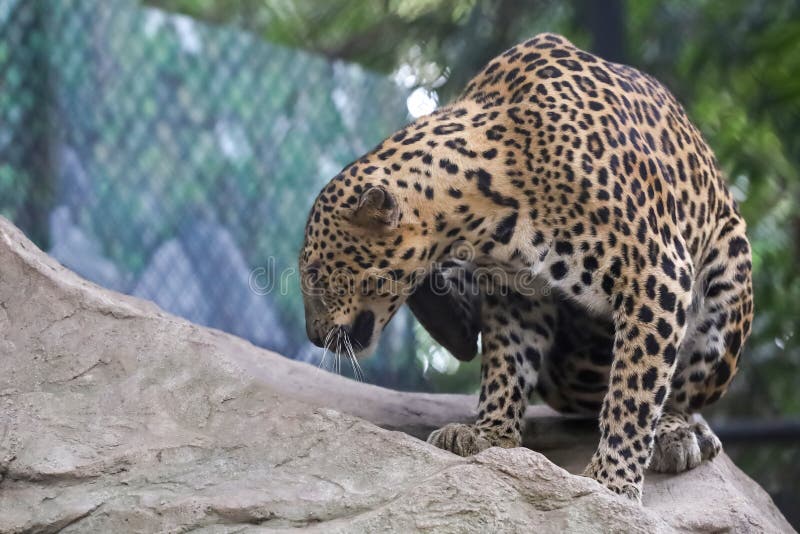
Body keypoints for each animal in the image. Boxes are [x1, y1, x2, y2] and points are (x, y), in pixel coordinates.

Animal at [299, 33, 753, 502]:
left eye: (314, 273)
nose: (312, 335)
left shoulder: (656, 270)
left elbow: (636, 385)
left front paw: (613, 480)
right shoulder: (516, 288)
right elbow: (507, 360)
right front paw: (489, 433)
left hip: (729, 280)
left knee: (681, 391)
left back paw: (678, 433)